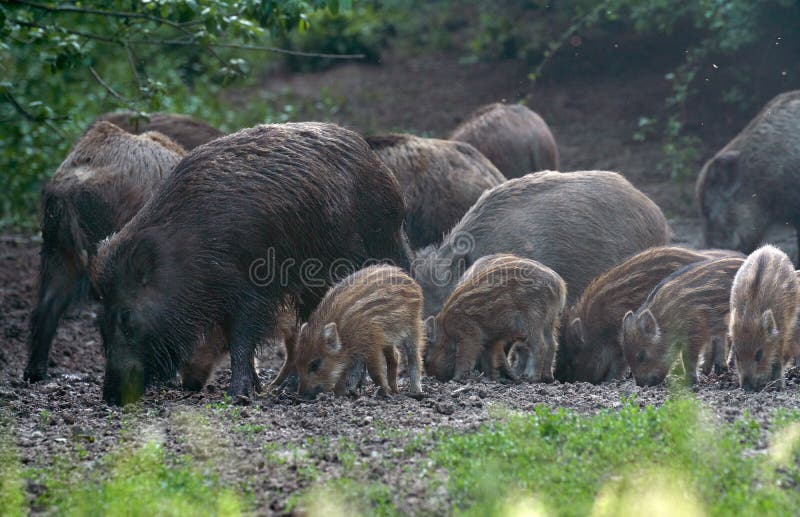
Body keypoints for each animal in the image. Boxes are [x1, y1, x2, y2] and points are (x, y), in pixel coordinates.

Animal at [90, 122, 409, 405]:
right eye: (100, 320)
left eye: (126, 316)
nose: (111, 397)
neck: (187, 254)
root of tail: (393, 190)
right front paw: (256, 389)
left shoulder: (251, 289)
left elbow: (241, 340)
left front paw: (239, 395)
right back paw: (290, 388)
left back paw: (347, 389)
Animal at [294, 265, 424, 398]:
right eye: (297, 364)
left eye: (315, 364)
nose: (301, 394)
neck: (343, 332)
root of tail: (409, 279)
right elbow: (344, 373)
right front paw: (341, 394)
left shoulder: (372, 344)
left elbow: (374, 372)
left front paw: (384, 392)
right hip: (389, 338)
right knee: (395, 356)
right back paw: (394, 390)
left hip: (413, 325)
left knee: (414, 357)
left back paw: (415, 391)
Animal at [424, 254, 566, 382]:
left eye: (426, 358)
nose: (437, 378)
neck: (445, 330)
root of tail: (559, 284)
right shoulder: (489, 340)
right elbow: (489, 359)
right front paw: (492, 378)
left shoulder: (468, 334)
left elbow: (464, 357)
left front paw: (457, 378)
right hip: (549, 321)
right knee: (552, 344)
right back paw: (547, 377)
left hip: (533, 319)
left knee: (540, 346)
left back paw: (531, 378)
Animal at [621, 257, 744, 387]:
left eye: (642, 355)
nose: (640, 384)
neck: (667, 319)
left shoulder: (695, 331)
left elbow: (688, 357)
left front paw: (690, 382)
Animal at [729, 245, 799, 391]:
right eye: (737, 354)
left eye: (759, 354)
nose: (746, 387)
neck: (750, 314)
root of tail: (768, 248)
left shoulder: (782, 333)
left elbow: (778, 360)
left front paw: (779, 385)